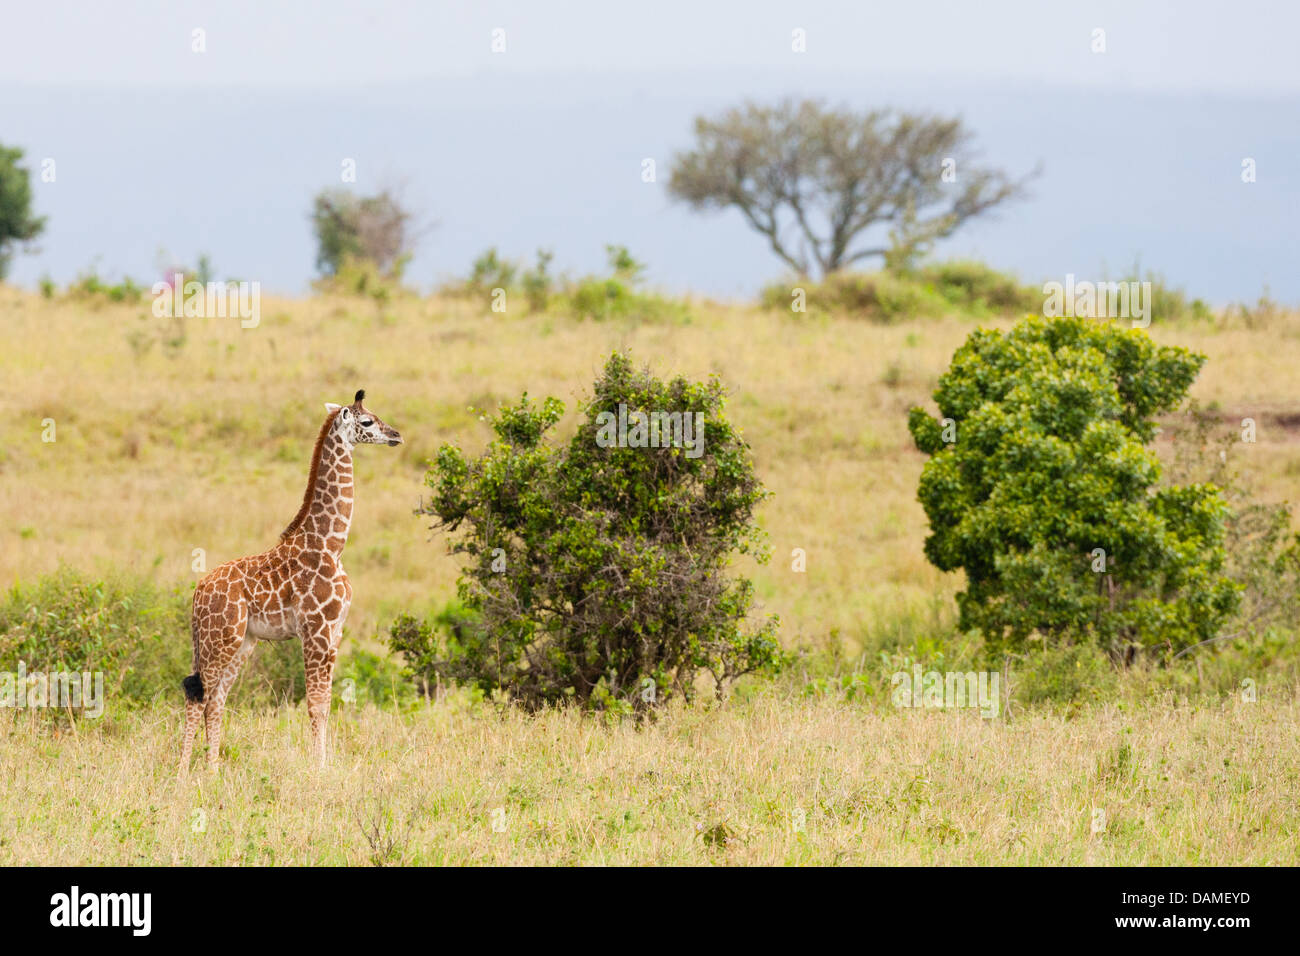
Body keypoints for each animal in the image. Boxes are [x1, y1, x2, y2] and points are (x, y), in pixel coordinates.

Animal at [179, 389, 402, 773]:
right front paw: (319, 769)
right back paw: (181, 775)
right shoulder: (316, 630)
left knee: (216, 699)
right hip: (219, 638)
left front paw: (324, 764)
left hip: (242, 642)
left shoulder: (335, 633)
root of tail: (198, 593)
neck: (331, 544)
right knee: (198, 698)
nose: (396, 435)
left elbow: (326, 703)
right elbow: (316, 704)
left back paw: (212, 771)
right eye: (368, 421)